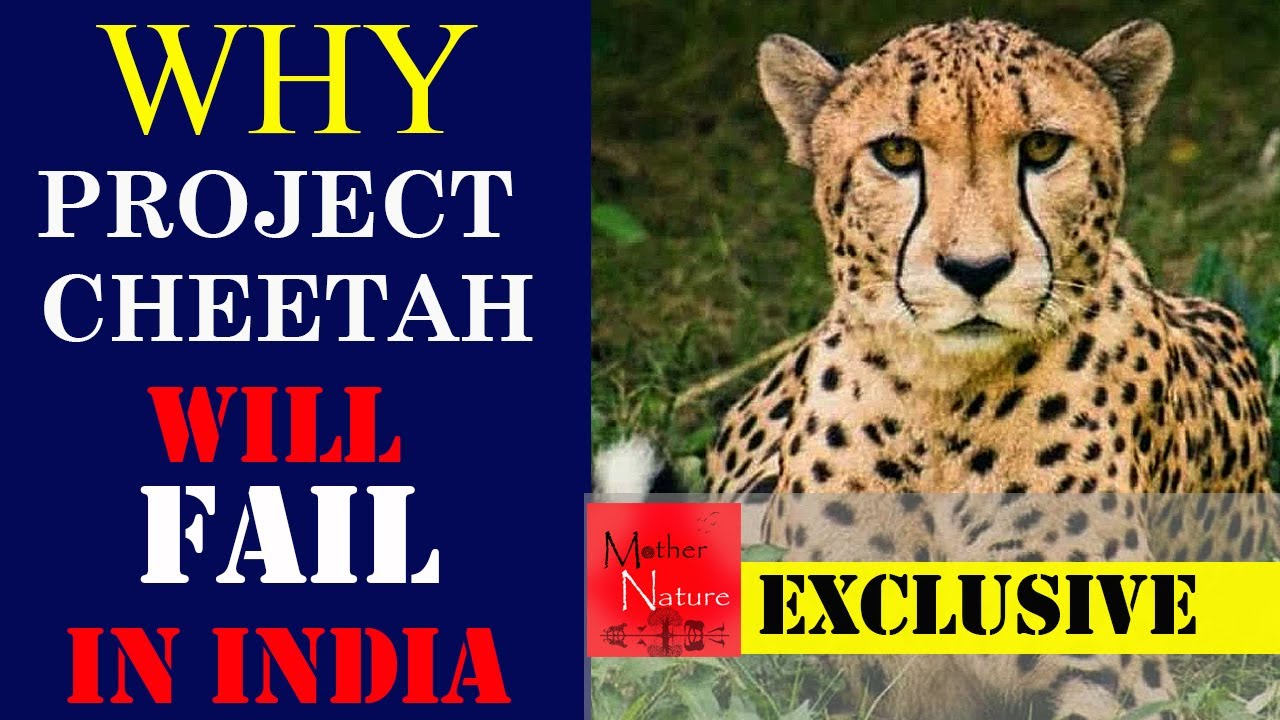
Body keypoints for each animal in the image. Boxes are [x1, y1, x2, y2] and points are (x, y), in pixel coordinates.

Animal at [694, 17, 1275, 720]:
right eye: (896, 153)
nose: (977, 269)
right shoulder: (797, 671)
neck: (942, 401)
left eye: (1044, 146)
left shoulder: (1117, 680)